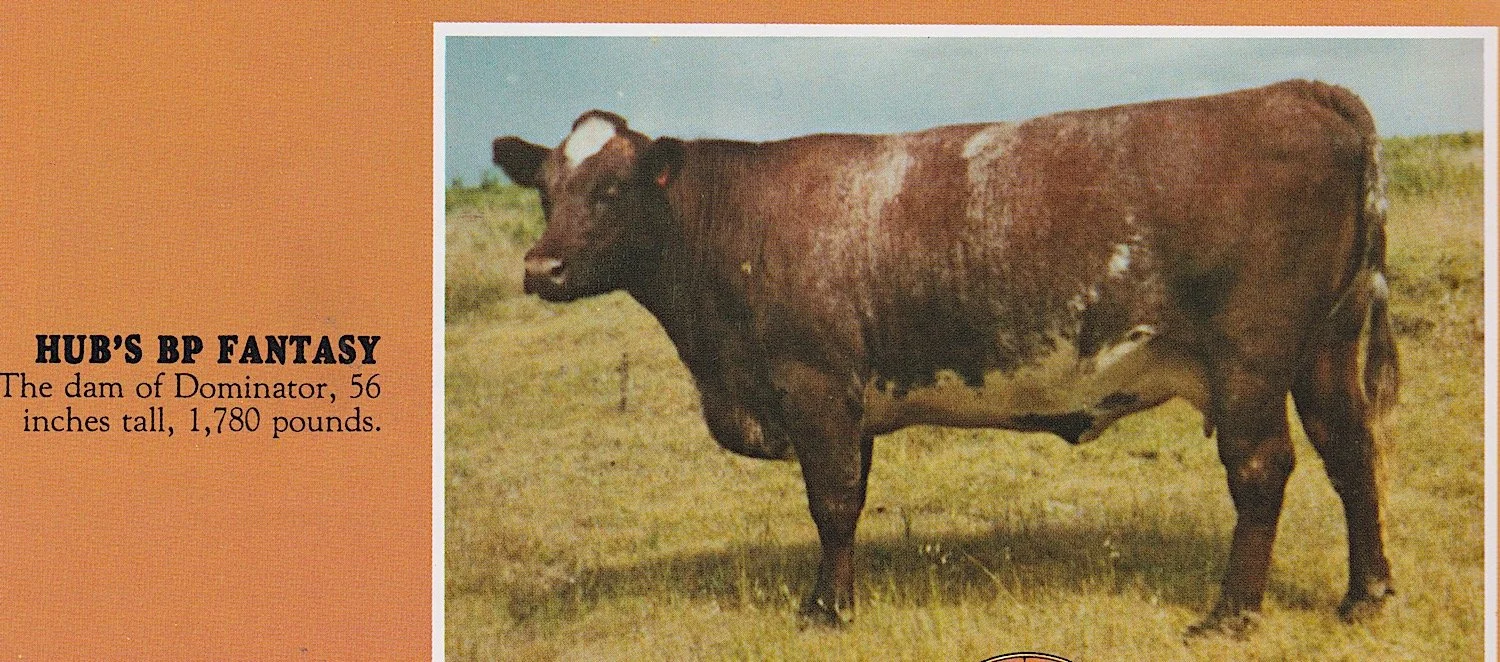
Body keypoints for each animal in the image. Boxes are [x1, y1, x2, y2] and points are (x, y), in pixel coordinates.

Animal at [491, 79, 1398, 636]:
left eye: (613, 190)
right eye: (544, 191)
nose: (542, 268)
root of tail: (1297, 91)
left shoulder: (814, 384)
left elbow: (831, 503)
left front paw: (826, 612)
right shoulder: (848, 400)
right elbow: (848, 501)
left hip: (1251, 358)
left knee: (1262, 468)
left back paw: (1229, 616)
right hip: (1327, 344)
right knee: (1351, 452)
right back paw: (1366, 595)